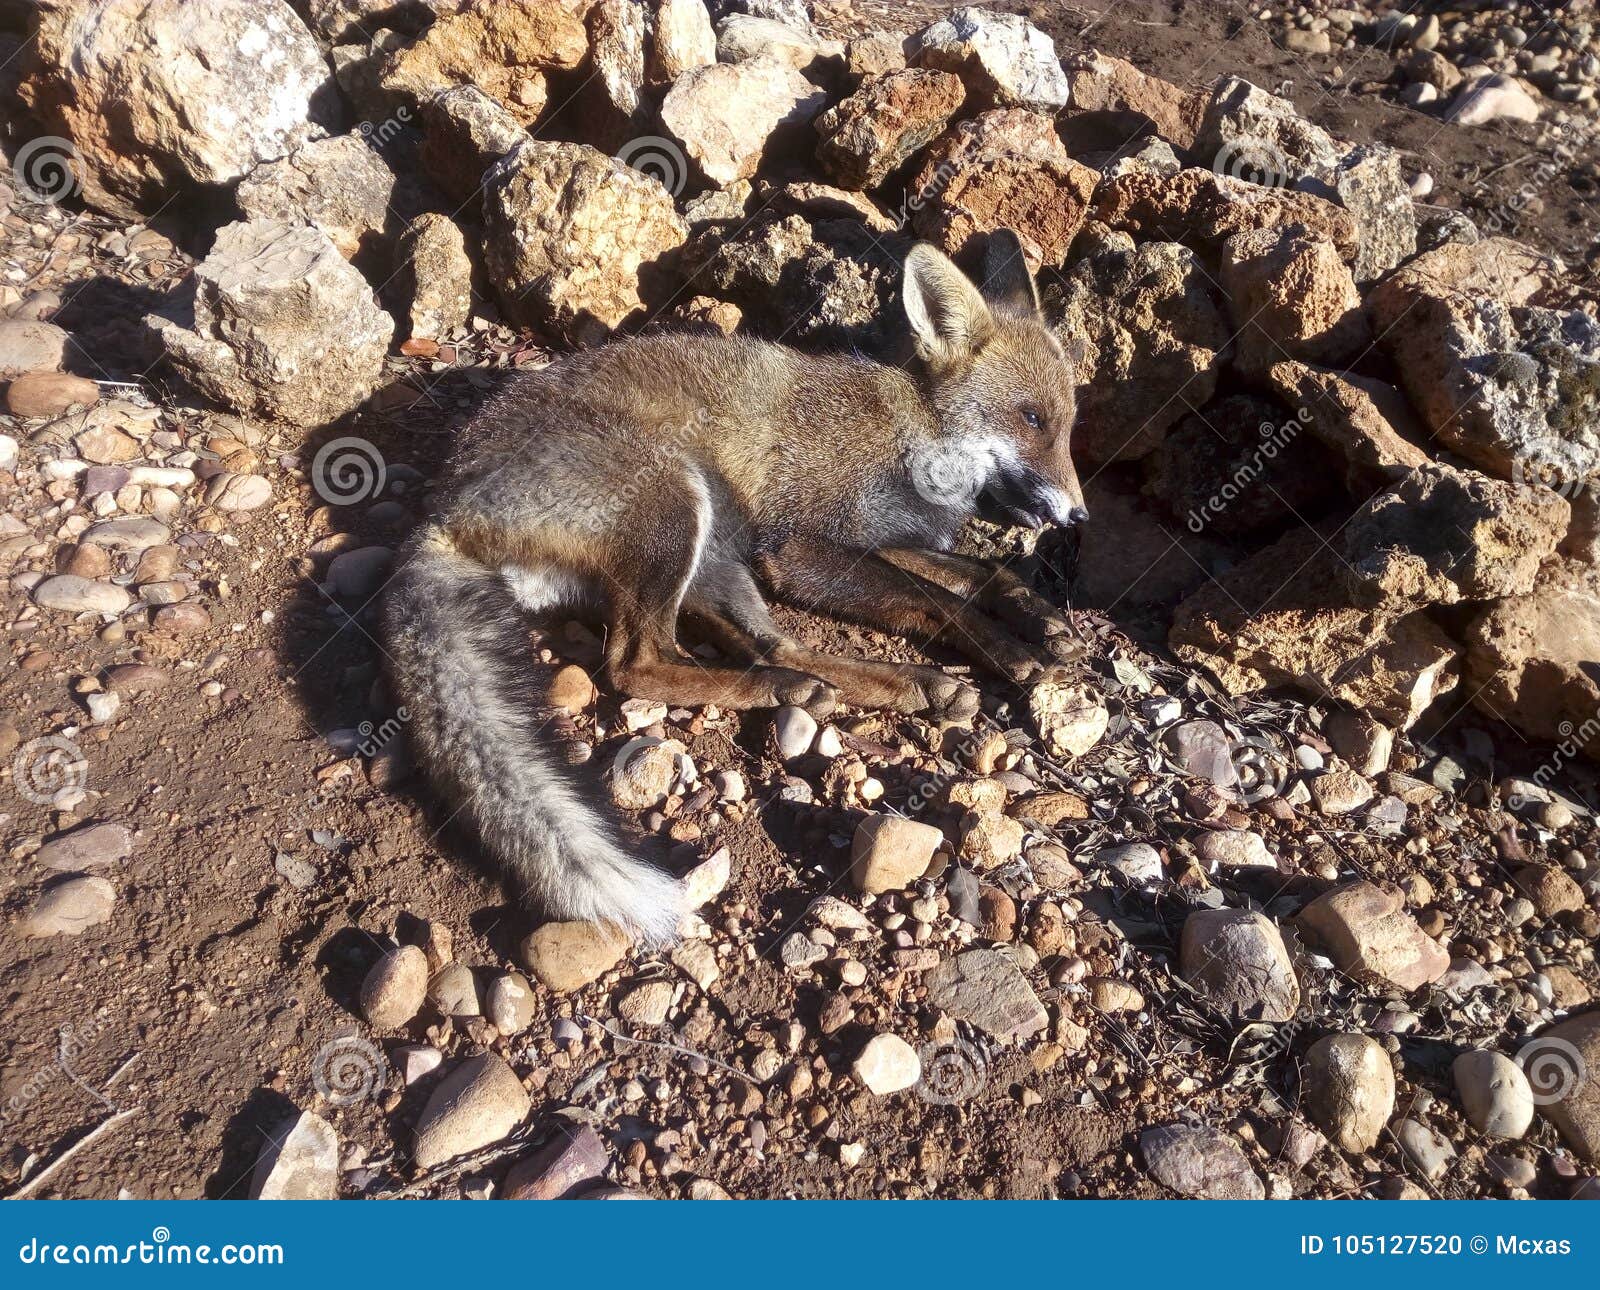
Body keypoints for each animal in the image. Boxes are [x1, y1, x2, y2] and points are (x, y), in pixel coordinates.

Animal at [383, 229, 1088, 946]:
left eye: (1067, 423)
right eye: (1031, 418)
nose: (1079, 516)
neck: (911, 431)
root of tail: (443, 511)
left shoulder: (879, 538)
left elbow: (980, 573)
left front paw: (1038, 618)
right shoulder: (798, 548)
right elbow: (938, 598)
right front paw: (1012, 650)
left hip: (715, 554)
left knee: (770, 646)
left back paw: (886, 684)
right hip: (677, 507)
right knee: (640, 663)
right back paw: (796, 688)